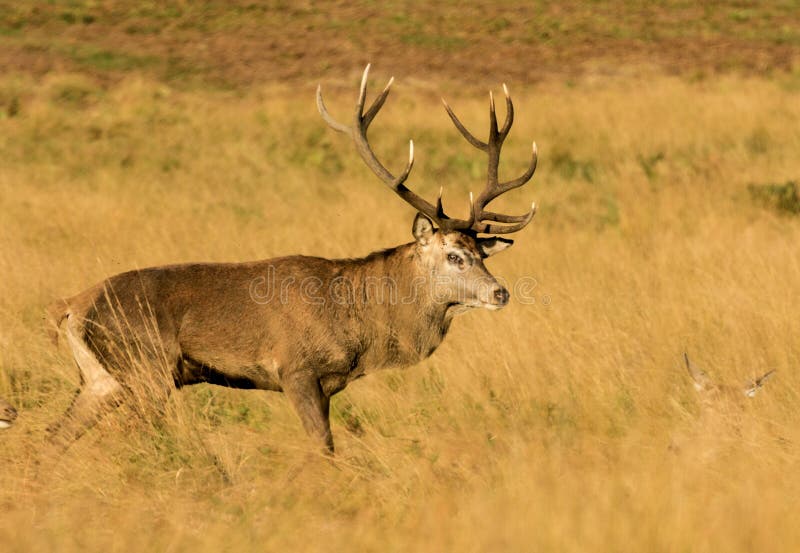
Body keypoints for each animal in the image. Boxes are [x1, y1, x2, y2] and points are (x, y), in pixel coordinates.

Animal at [44, 65, 538, 454]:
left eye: (481, 253)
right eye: (454, 255)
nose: (501, 292)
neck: (358, 324)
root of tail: (72, 306)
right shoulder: (296, 368)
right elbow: (324, 446)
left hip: (101, 378)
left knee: (53, 437)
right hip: (146, 367)